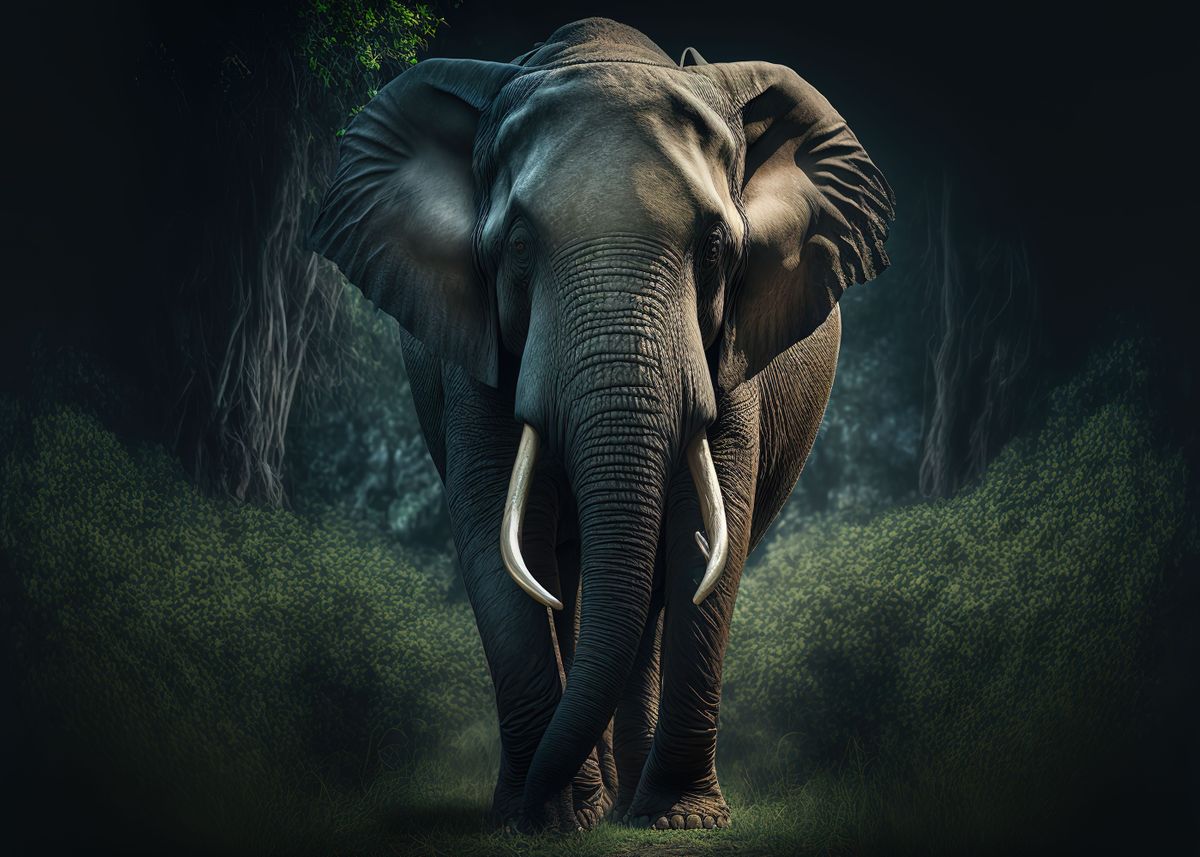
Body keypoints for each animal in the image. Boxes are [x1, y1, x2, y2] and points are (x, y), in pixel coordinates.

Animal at [309, 17, 893, 833]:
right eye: (518, 246)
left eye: (717, 247)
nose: (534, 803)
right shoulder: (474, 349)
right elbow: (493, 521)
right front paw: (546, 820)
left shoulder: (733, 346)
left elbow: (706, 529)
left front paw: (680, 820)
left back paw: (629, 803)